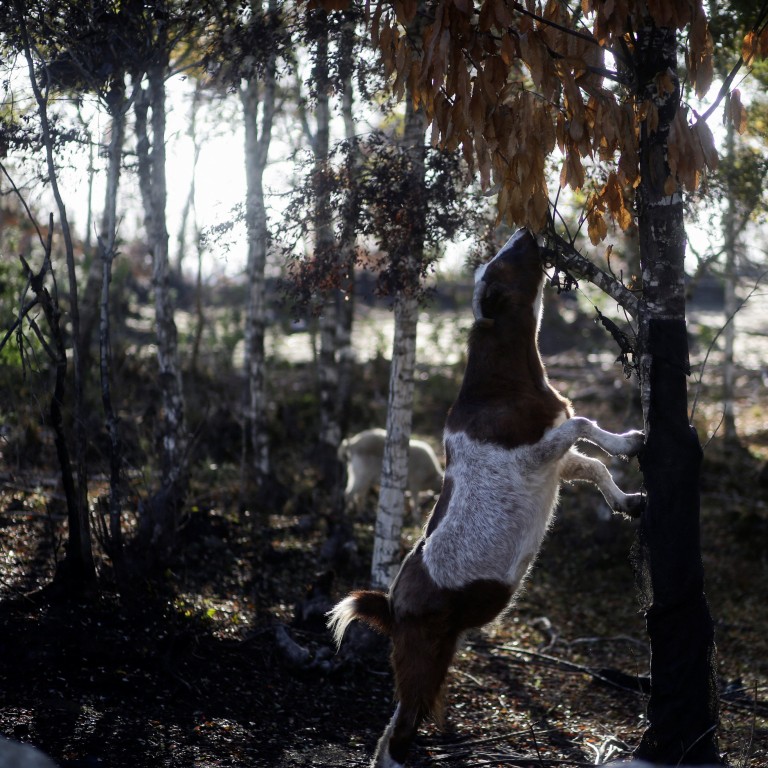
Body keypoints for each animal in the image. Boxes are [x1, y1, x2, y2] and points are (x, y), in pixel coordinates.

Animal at [327, 229, 644, 768]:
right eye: (499, 266)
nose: (525, 232)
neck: (502, 383)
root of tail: (391, 605)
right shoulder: (534, 456)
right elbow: (585, 426)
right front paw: (629, 443)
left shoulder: (555, 465)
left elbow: (594, 462)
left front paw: (628, 498)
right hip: (422, 660)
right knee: (394, 735)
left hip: (437, 657)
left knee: (394, 732)